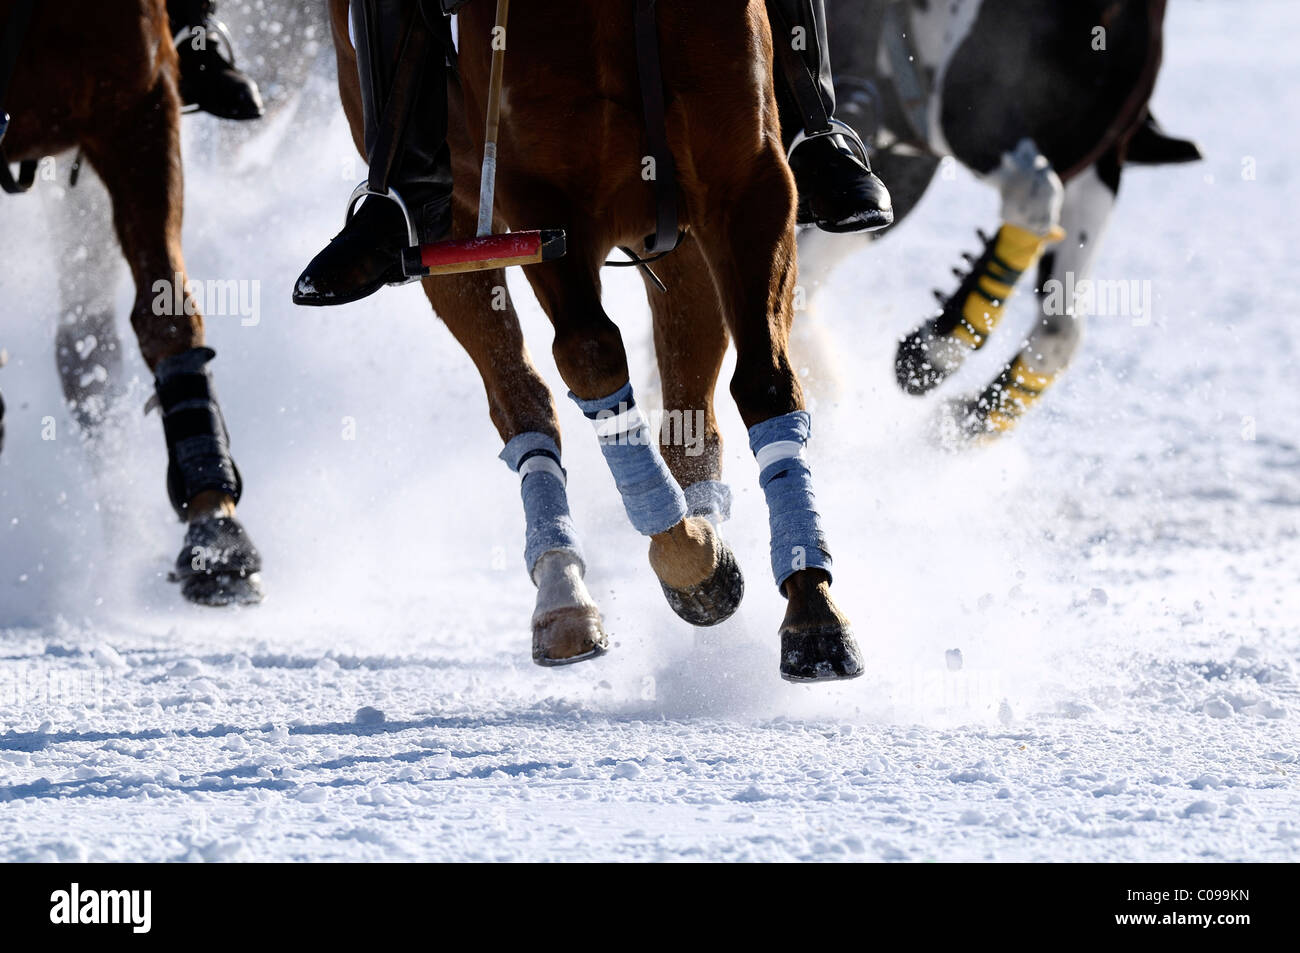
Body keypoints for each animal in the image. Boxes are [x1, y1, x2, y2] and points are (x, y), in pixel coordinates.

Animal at [324, 0, 862, 681]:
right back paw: (565, 595)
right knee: (522, 398)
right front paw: (690, 560)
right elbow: (590, 356)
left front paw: (811, 602)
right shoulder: (542, 204)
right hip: (451, 226)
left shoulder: (746, 183)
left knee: (691, 408)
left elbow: (765, 378)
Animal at [796, 0, 1199, 440]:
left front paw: (960, 415)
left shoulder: (1099, 159)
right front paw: (935, 350)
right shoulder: (966, 111)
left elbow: (1061, 330)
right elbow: (1034, 193)